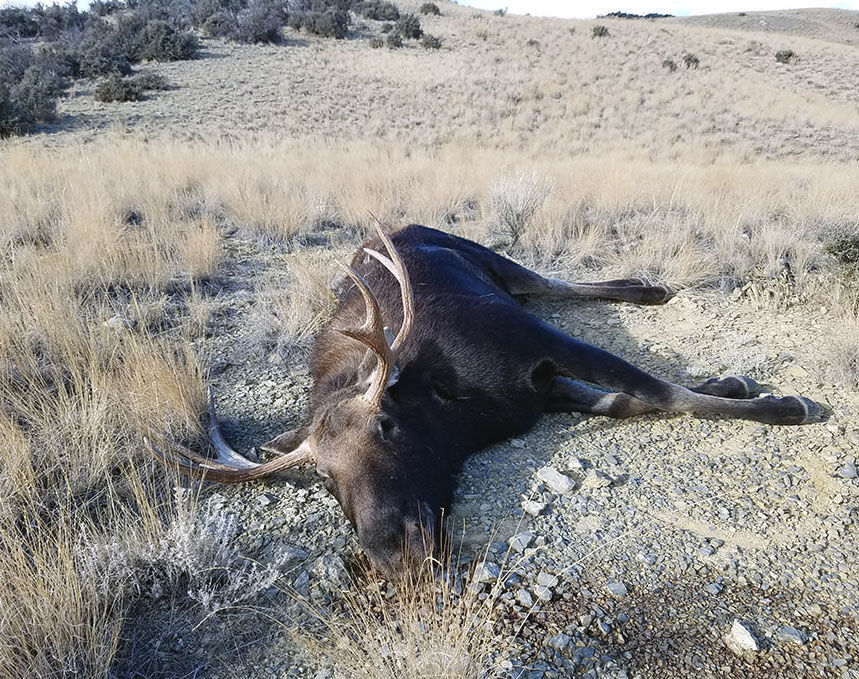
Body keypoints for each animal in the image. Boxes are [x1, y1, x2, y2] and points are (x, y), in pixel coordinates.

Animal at [149, 221, 822, 578]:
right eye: (323, 476)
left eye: (388, 424)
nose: (394, 551)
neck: (461, 412)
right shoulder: (538, 393)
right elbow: (634, 400)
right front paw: (730, 385)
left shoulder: (538, 345)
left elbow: (654, 386)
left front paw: (783, 407)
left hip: (496, 264)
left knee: (553, 282)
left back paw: (647, 287)